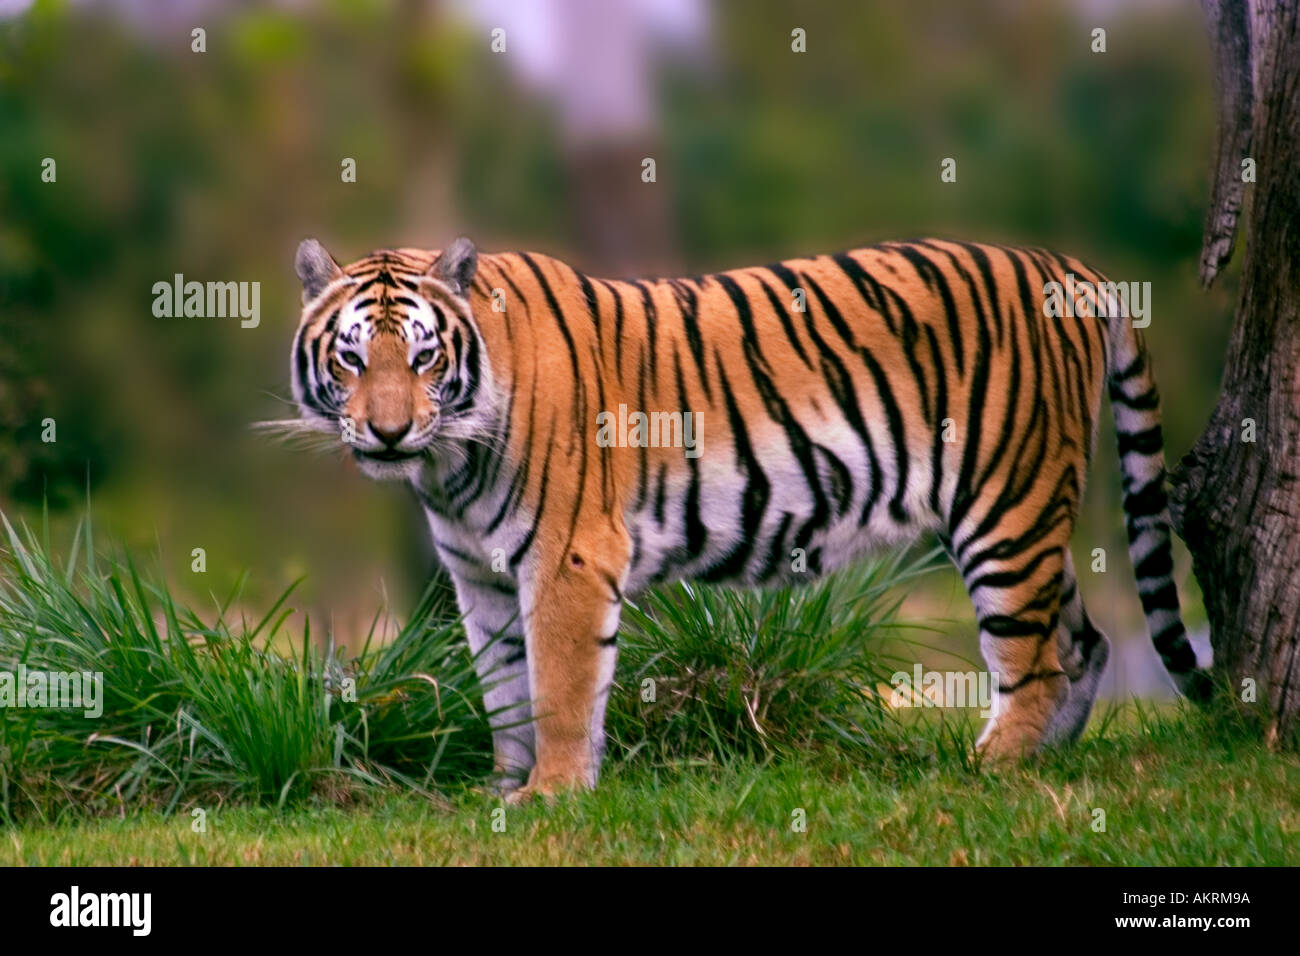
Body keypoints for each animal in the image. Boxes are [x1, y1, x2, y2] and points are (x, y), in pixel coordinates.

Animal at [286, 235, 1208, 799]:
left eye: (424, 357)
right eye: (352, 358)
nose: (388, 430)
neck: (450, 465)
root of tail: (1070, 266)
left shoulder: (568, 558)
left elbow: (559, 685)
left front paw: (551, 794)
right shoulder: (480, 575)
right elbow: (505, 689)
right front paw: (505, 787)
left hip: (1005, 502)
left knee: (1036, 657)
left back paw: (987, 768)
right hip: (1026, 518)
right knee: (1085, 640)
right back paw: (1044, 763)